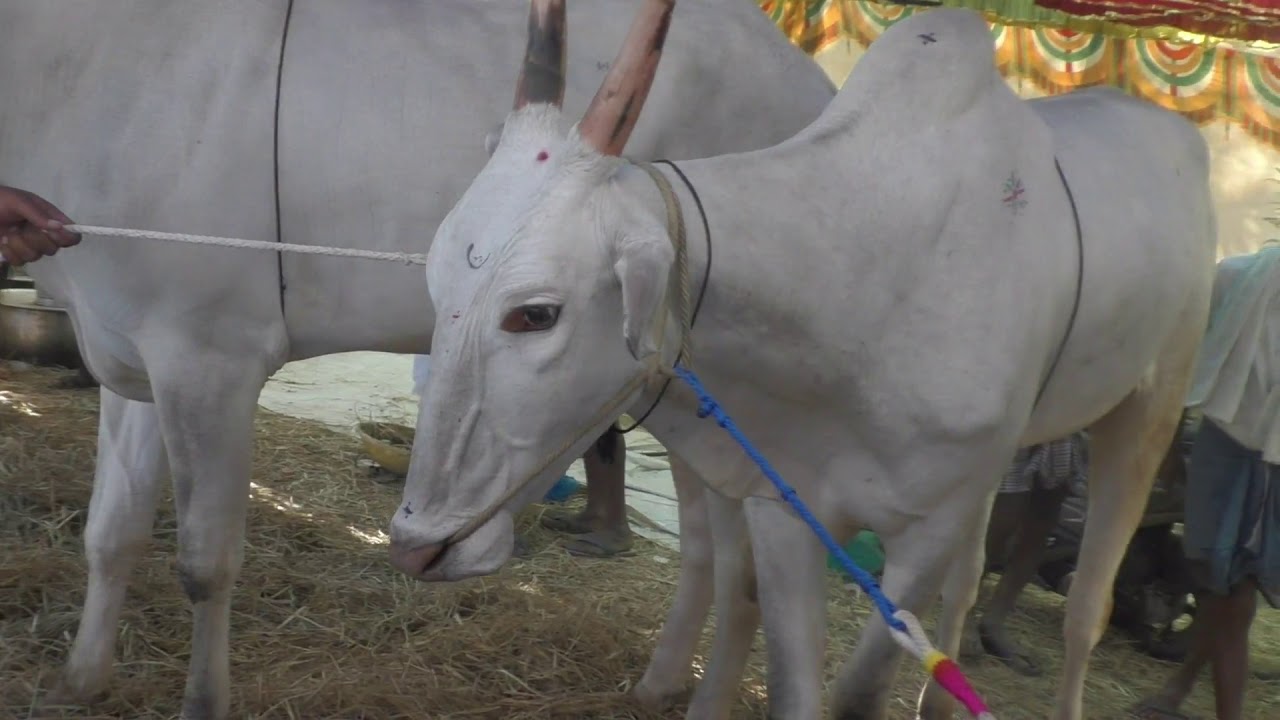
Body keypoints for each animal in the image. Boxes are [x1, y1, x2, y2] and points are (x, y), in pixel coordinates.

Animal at [0, 1, 836, 717]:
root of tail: (806, 77)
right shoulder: (129, 353)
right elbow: (110, 531)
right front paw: (81, 678)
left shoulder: (208, 357)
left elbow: (204, 565)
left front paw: (202, 704)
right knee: (708, 541)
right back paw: (661, 682)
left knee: (739, 557)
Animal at [389, 2, 1217, 719]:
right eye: (436, 282)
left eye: (535, 313)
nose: (415, 543)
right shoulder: (785, 509)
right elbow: (793, 685)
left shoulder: (924, 534)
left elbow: (857, 694)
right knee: (970, 582)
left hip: (1149, 409)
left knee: (1086, 607)